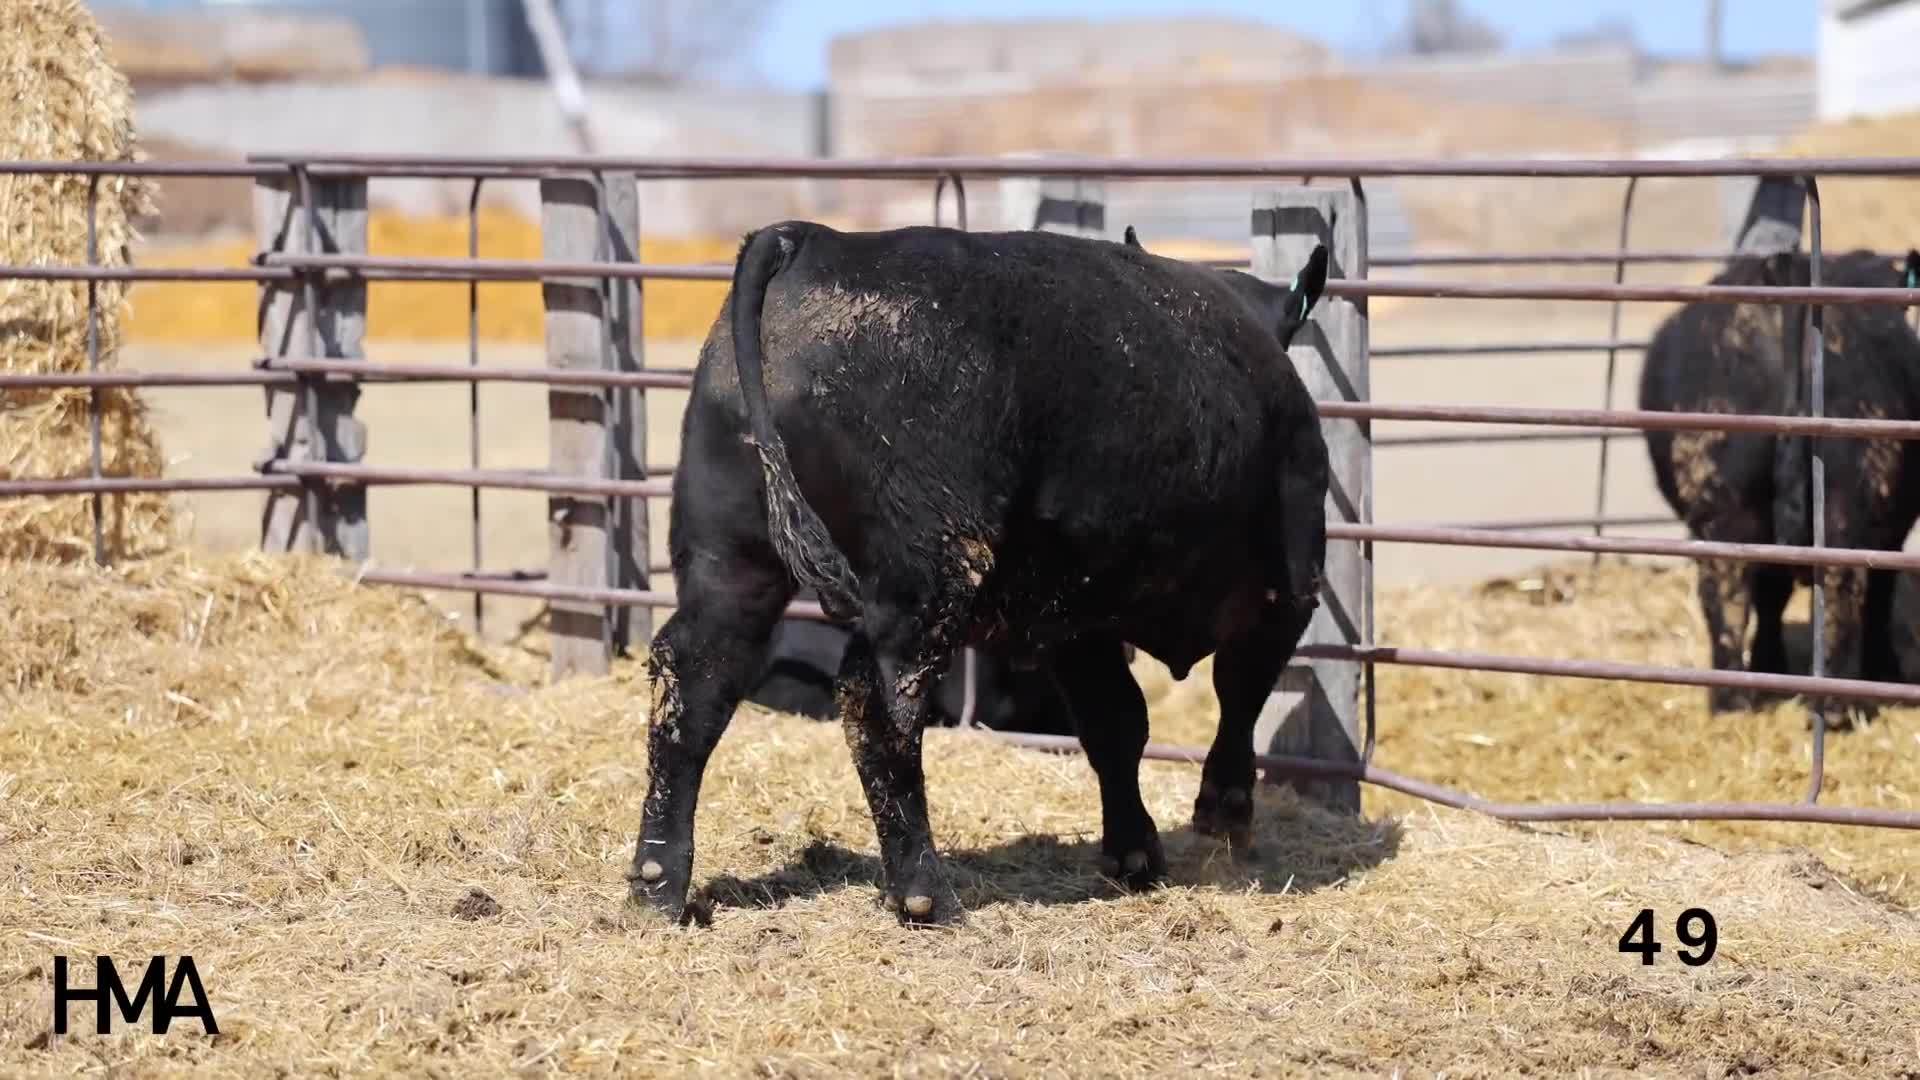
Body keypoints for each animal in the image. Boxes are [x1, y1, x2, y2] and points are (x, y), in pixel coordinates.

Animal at [628, 220, 1332, 925]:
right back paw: (923, 891)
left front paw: (1134, 853)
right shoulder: (1289, 588)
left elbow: (1117, 723)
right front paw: (1224, 813)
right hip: (925, 577)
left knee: (697, 677)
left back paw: (658, 883)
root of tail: (815, 241)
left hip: (731, 557)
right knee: (877, 702)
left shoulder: (1077, 621)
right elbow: (1239, 695)